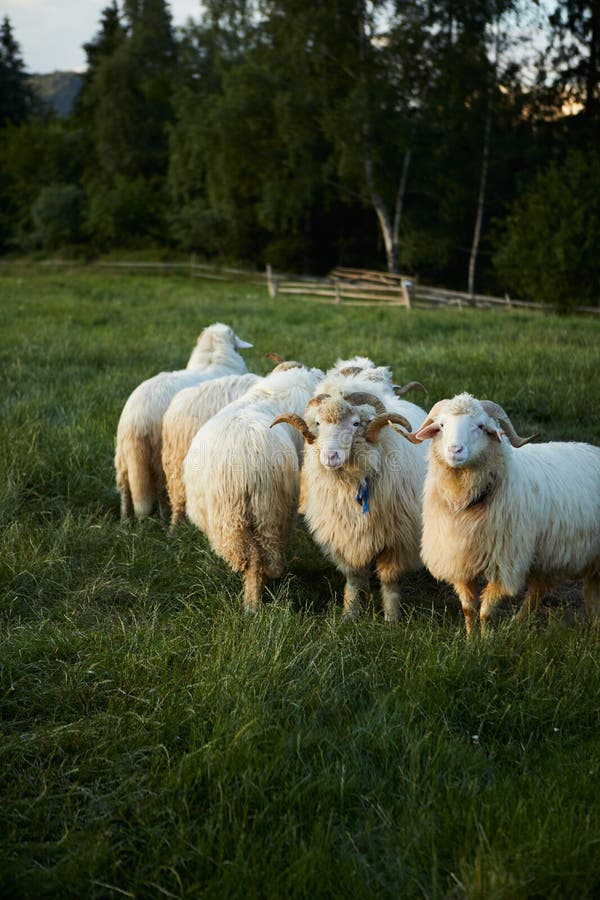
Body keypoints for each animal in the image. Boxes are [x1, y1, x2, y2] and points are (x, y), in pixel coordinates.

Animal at [115, 322, 252, 520]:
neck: (212, 359)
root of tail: (137, 419)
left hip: (123, 455)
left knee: (125, 487)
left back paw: (125, 519)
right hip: (160, 454)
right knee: (162, 489)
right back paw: (164, 517)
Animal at [183, 363, 324, 613]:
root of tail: (248, 461)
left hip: (240, 519)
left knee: (253, 560)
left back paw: (251, 604)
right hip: (270, 514)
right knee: (263, 557)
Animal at [271, 378, 428, 622]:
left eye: (355, 423)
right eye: (318, 422)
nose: (330, 456)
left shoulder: (398, 540)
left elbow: (390, 580)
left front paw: (391, 619)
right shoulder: (344, 536)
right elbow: (353, 577)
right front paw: (350, 614)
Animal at [399, 392, 600, 633]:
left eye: (480, 426)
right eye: (442, 425)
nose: (455, 450)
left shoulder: (504, 562)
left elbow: (486, 612)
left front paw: (486, 640)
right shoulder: (459, 558)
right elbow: (468, 609)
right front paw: (470, 638)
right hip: (552, 559)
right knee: (546, 593)